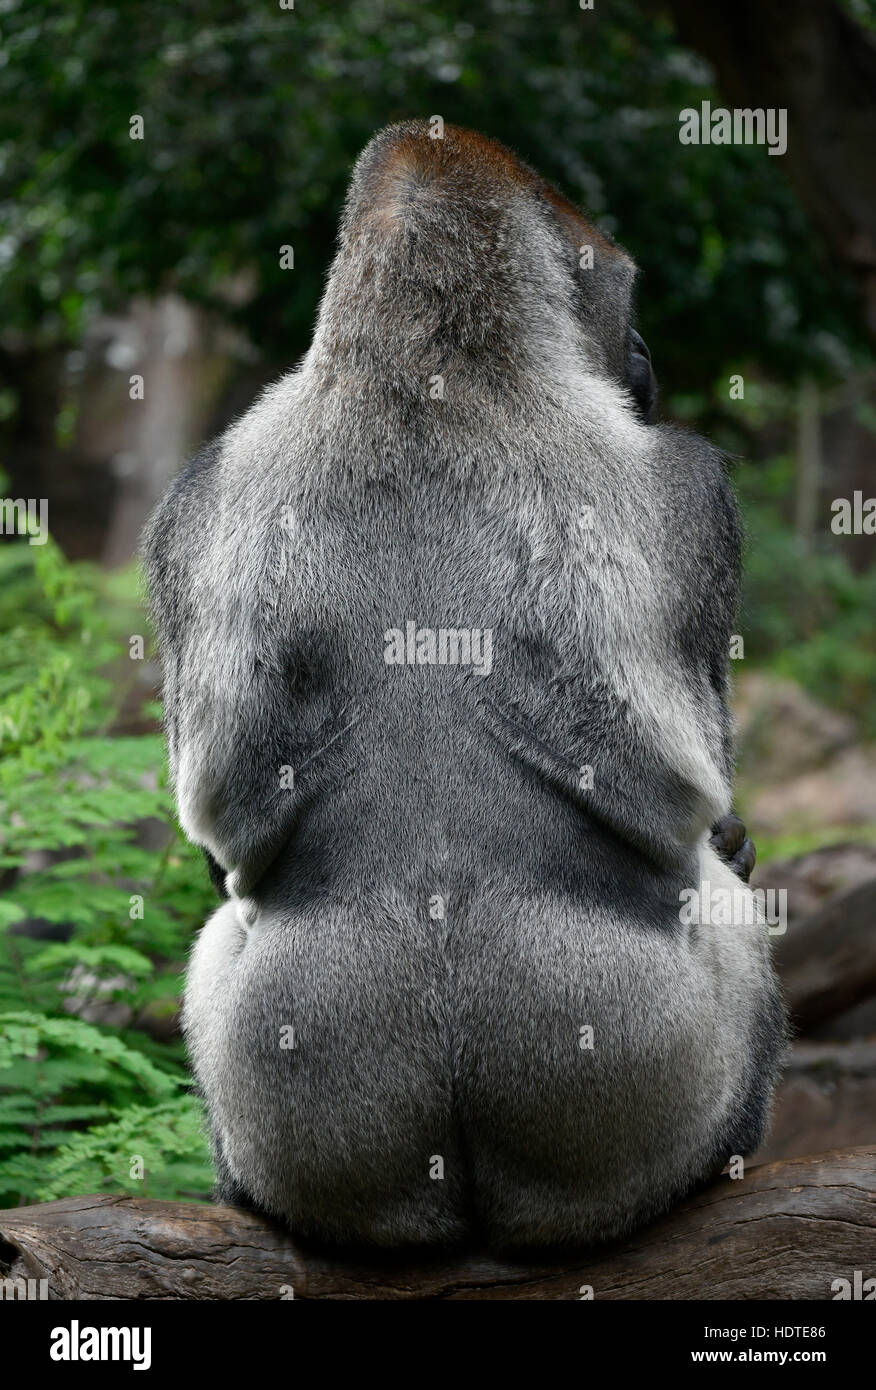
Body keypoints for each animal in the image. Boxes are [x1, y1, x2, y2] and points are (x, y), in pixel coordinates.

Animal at [142, 121, 786, 1250]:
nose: (644, 359)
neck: (420, 366)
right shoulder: (699, 485)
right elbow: (701, 783)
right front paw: (733, 836)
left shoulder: (187, 498)